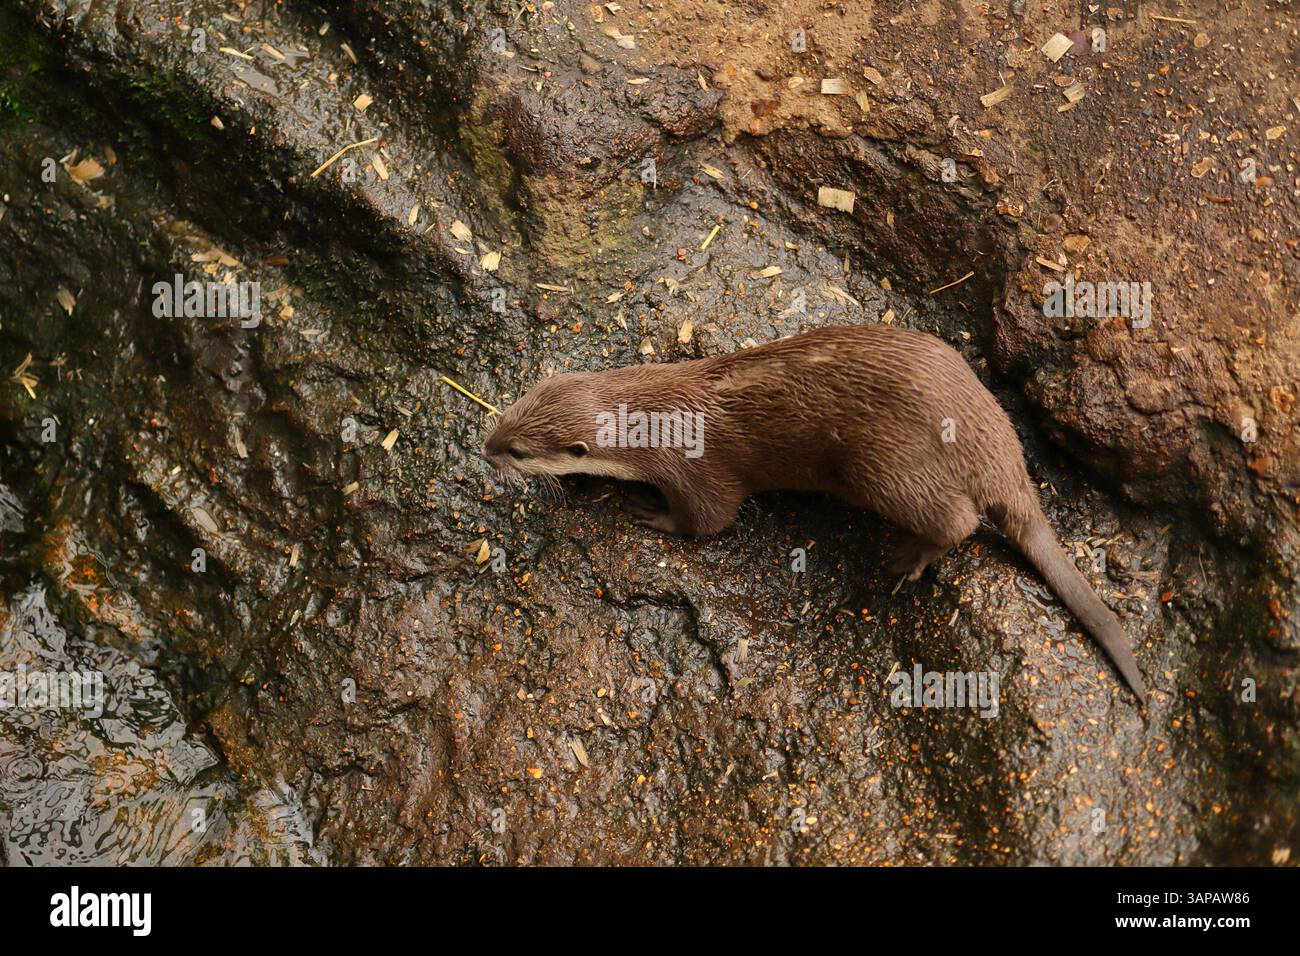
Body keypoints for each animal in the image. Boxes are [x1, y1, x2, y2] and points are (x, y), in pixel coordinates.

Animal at [483, 325, 1147, 703]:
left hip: (882, 465)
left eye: (519, 451)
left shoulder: (697, 472)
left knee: (957, 520)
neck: (660, 413)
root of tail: (994, 443)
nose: (486, 448)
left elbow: (710, 519)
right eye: (509, 411)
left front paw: (649, 512)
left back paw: (910, 559)